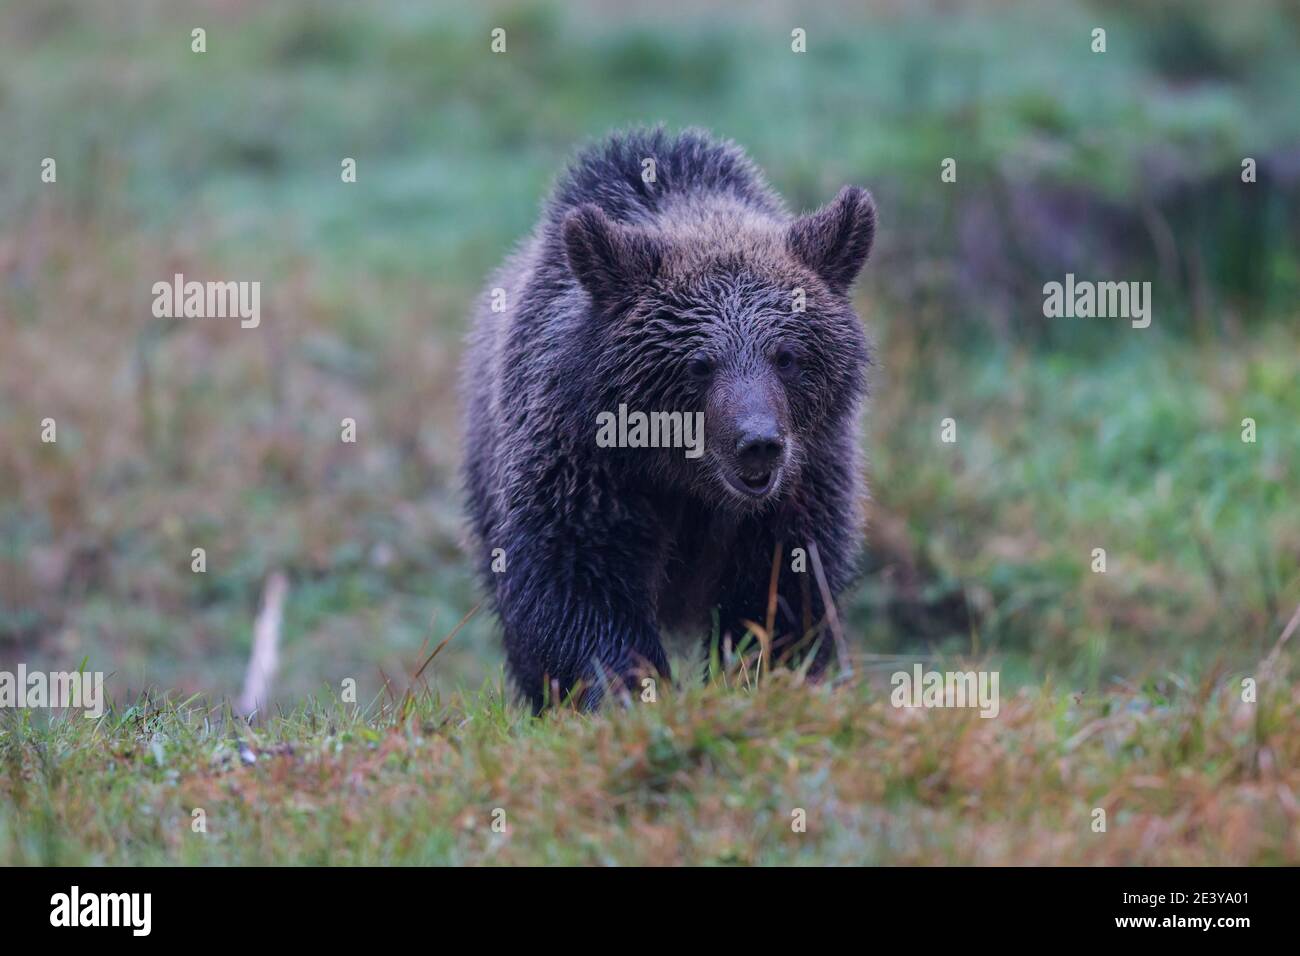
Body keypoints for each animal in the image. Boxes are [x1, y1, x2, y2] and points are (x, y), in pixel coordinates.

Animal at [462, 126, 875, 711]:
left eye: (787, 355)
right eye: (700, 363)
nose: (758, 442)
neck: (686, 479)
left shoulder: (804, 481)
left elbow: (782, 591)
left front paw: (767, 675)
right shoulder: (585, 467)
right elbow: (579, 586)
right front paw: (625, 689)